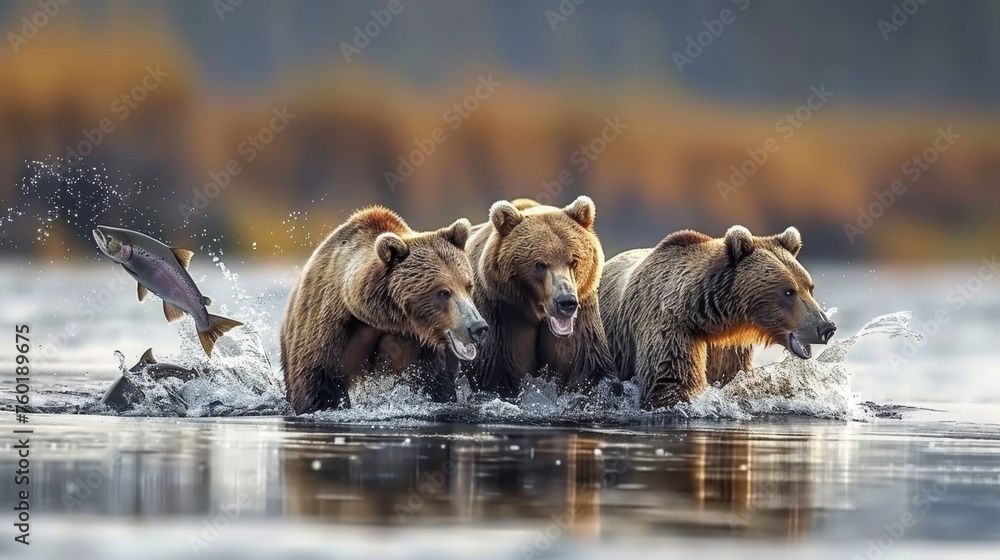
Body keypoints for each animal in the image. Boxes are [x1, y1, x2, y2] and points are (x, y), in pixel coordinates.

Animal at [280, 206, 489, 414]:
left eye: (468, 286)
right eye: (443, 292)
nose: (478, 327)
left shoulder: (424, 350)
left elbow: (437, 385)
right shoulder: (326, 333)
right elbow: (318, 388)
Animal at [464, 195, 618, 400]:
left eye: (574, 261)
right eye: (540, 265)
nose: (565, 302)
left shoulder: (582, 322)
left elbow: (590, 370)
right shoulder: (499, 319)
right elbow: (494, 378)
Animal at [598, 225, 836, 410]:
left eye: (810, 287)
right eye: (788, 291)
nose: (826, 327)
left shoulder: (728, 346)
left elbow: (732, 376)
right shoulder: (670, 327)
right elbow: (670, 382)